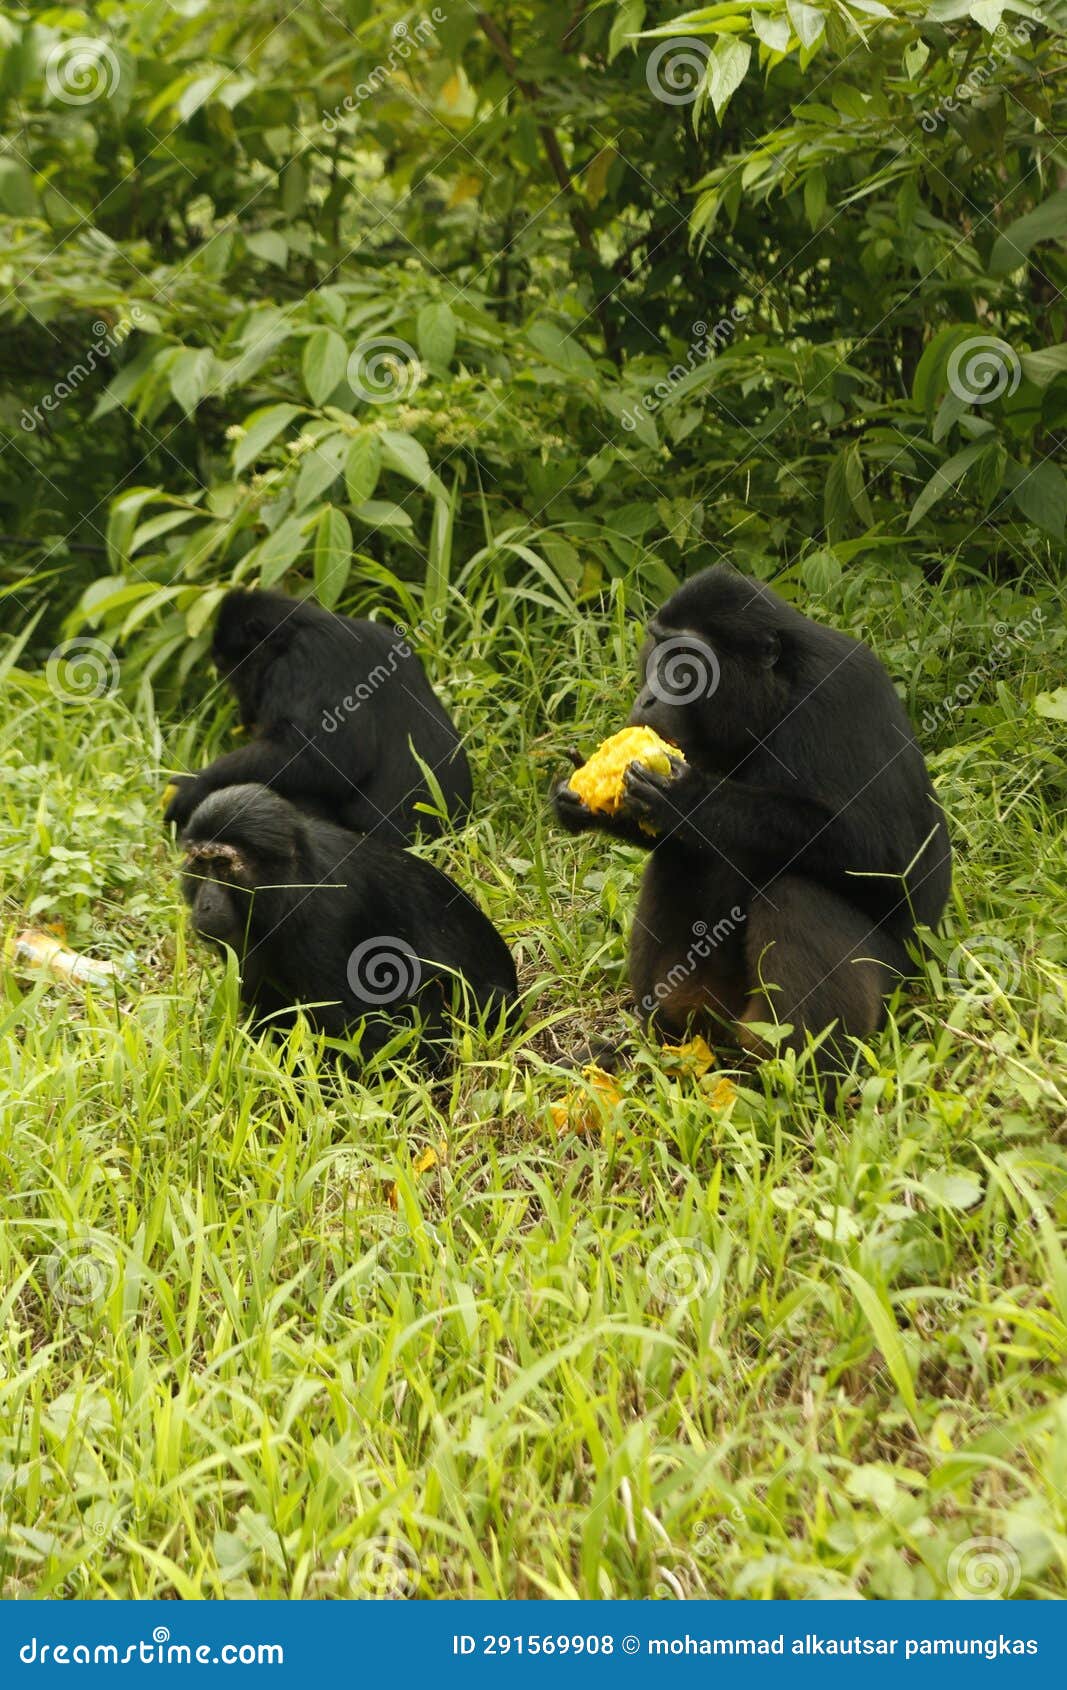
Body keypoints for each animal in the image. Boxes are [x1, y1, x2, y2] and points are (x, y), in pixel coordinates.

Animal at [164, 589, 472, 844]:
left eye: (231, 668)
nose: (239, 700)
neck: (297, 630)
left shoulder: (300, 664)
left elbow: (329, 760)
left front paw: (196, 785)